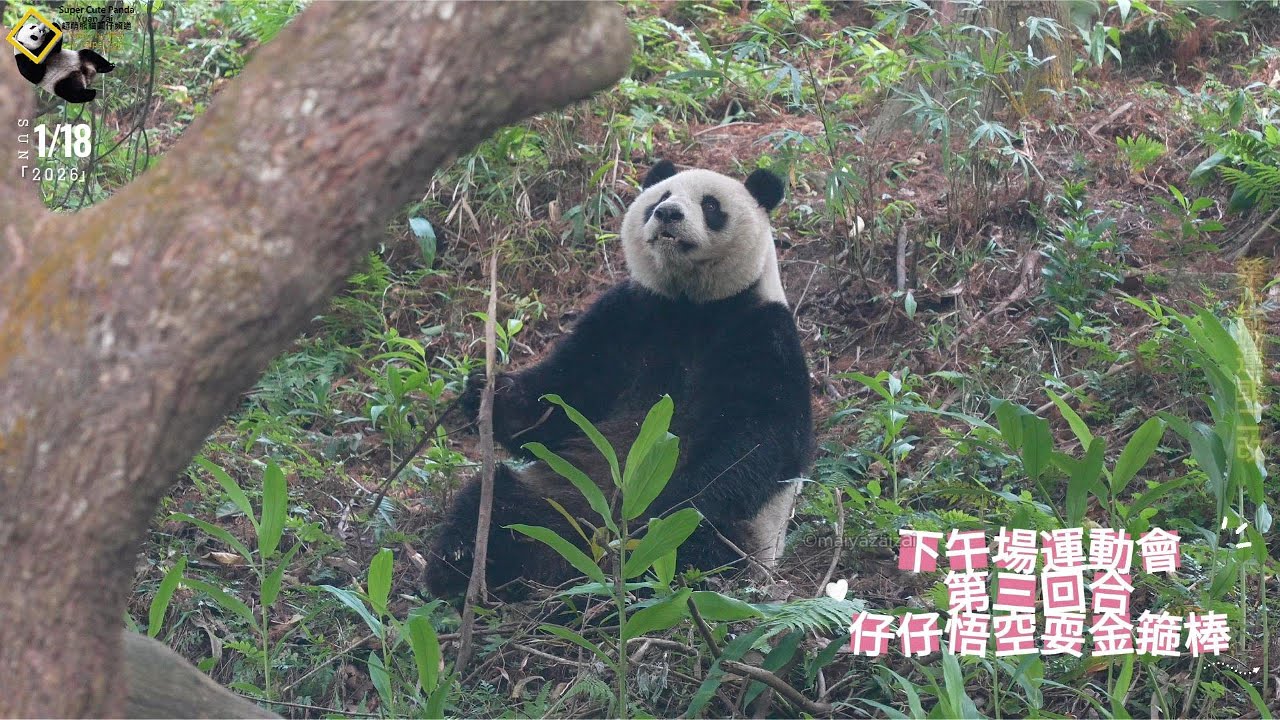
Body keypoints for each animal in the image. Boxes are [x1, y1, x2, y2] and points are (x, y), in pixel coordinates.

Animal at [425, 160, 813, 599]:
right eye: (661, 197)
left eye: (711, 205)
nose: (668, 214)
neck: (691, 307)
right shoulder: (625, 318)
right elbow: (561, 401)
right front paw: (484, 392)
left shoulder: (762, 334)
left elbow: (761, 440)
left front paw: (675, 500)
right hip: (565, 495)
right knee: (502, 508)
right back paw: (466, 564)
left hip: (742, 539)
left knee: (694, 550)